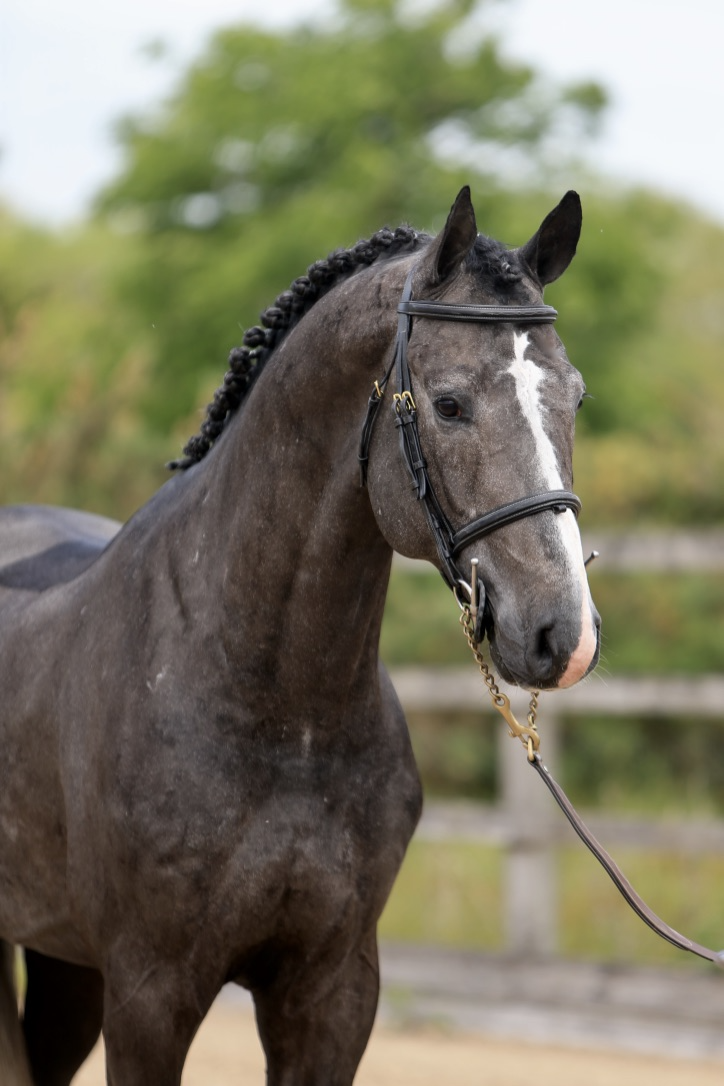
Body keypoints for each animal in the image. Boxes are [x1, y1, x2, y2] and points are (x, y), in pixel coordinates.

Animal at [0, 186, 600, 1085]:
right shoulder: (149, 994)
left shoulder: (332, 990)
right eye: (450, 402)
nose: (563, 635)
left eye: (575, 397)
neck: (282, 710)